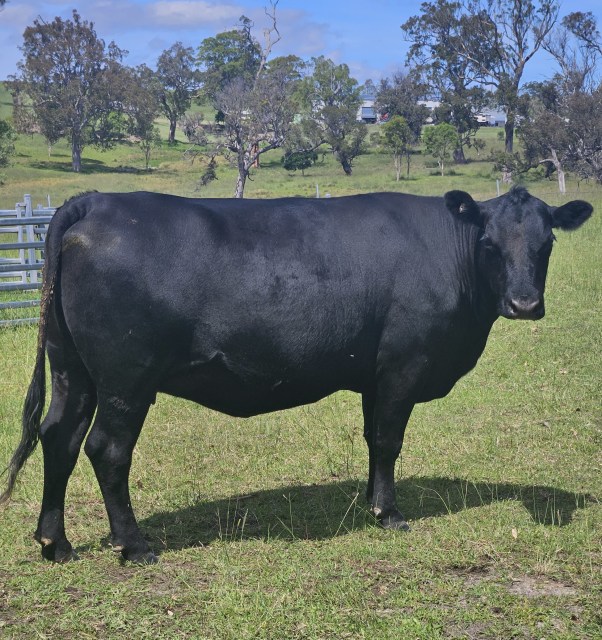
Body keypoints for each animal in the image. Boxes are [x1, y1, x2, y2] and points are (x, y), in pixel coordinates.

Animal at [0, 187, 592, 564]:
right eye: (490, 244)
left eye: (547, 244)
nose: (524, 304)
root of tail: (95, 201)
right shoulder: (403, 367)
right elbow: (388, 439)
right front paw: (390, 514)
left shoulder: (374, 373)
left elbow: (373, 440)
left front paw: (373, 502)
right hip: (127, 378)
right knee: (107, 448)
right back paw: (134, 546)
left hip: (73, 369)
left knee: (59, 437)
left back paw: (55, 543)